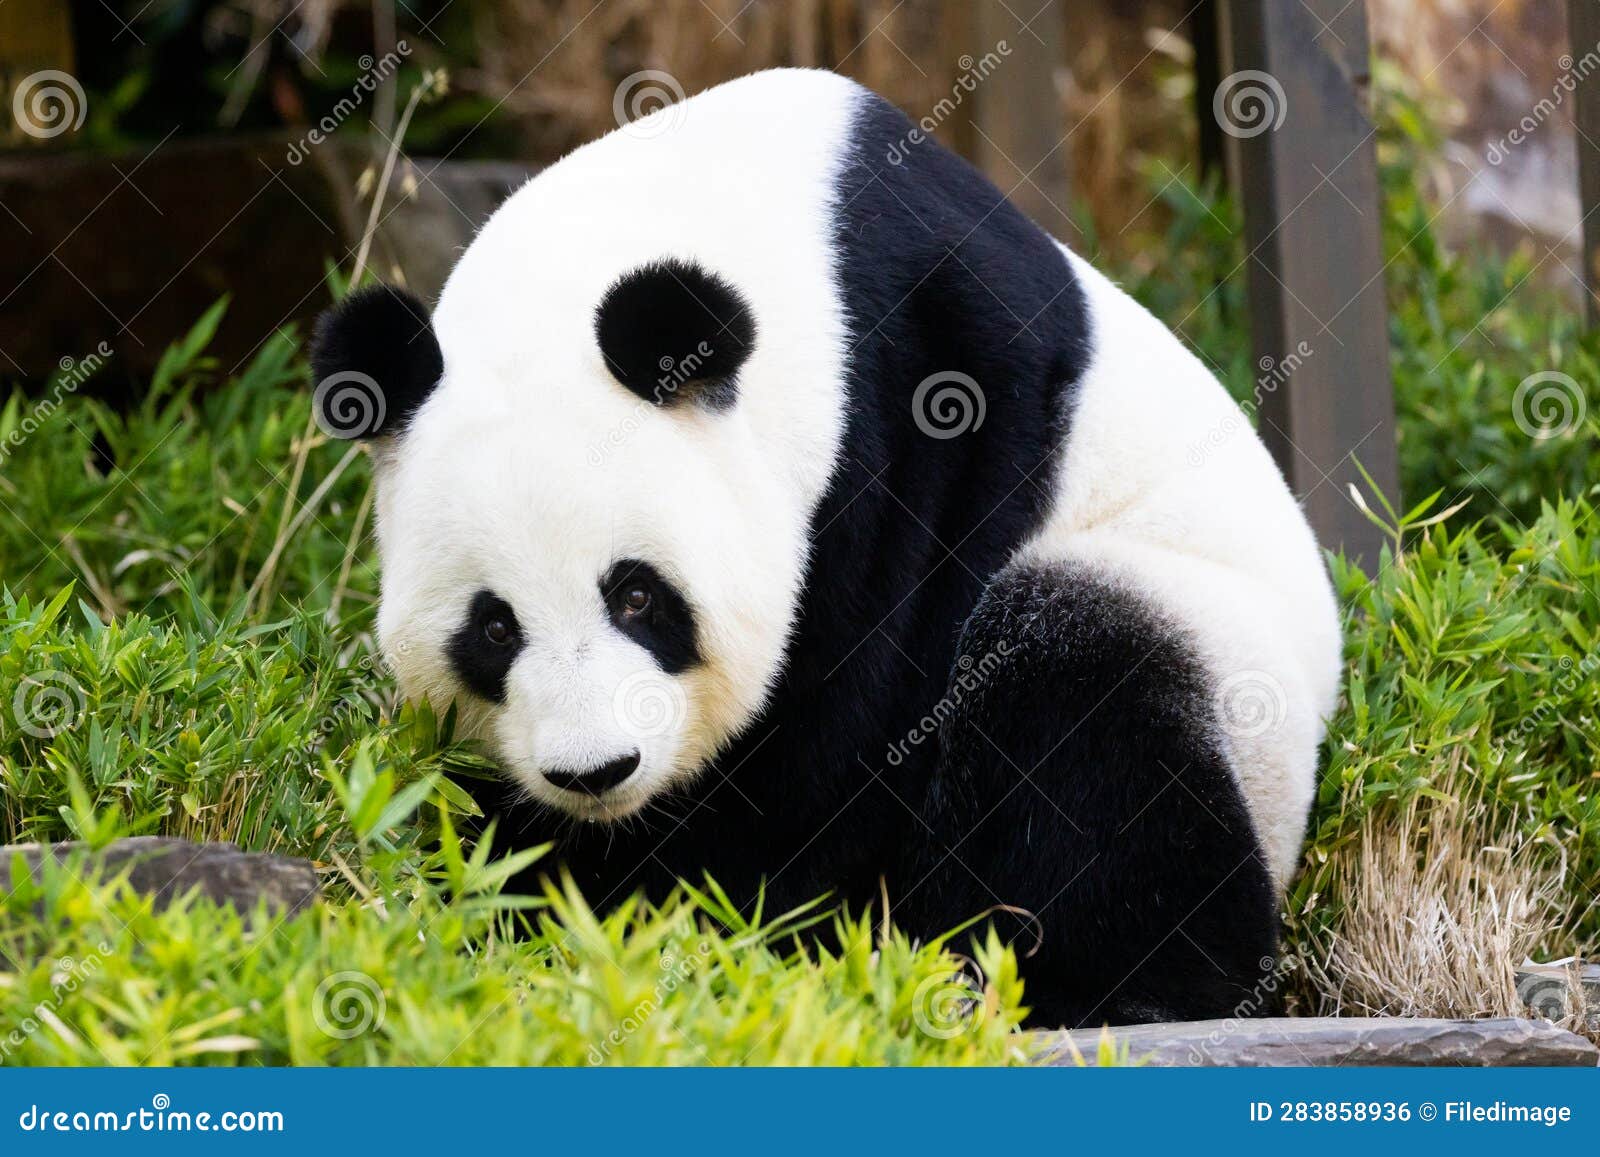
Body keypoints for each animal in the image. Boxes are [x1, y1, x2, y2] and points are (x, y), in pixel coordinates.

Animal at [310, 69, 1342, 1028]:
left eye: (638, 596)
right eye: (492, 629)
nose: (595, 771)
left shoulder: (921, 415)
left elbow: (849, 731)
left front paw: (718, 925)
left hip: (1228, 672)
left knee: (1086, 694)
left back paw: (1110, 988)